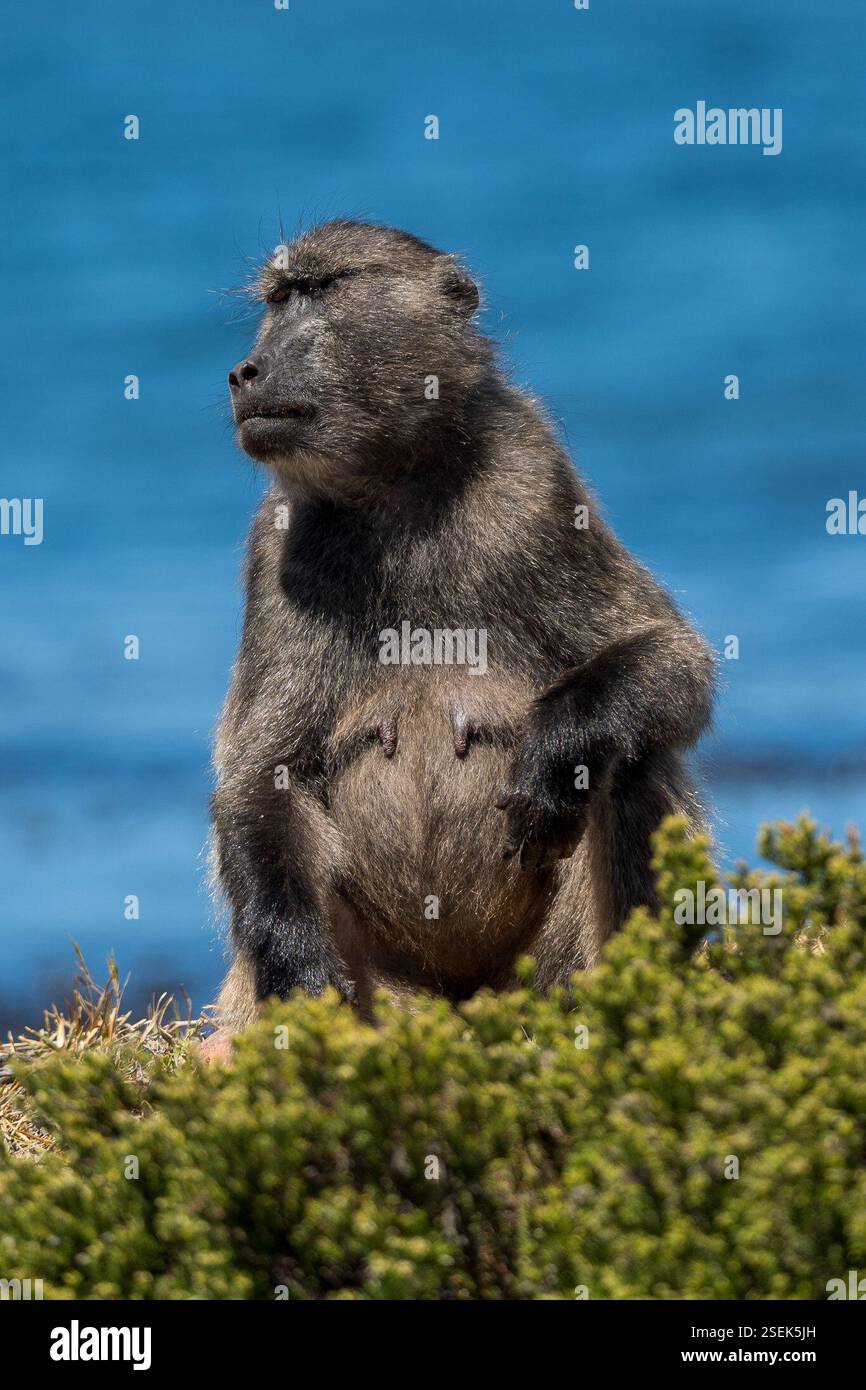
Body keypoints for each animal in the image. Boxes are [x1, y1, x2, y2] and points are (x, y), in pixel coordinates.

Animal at [207, 219, 715, 1048]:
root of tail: (470, 1005)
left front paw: (560, 744)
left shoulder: (537, 488)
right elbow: (261, 770)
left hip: (543, 974)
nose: (244, 372)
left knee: (636, 756)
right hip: (392, 992)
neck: (397, 486)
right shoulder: (273, 546)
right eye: (276, 300)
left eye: (322, 289)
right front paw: (296, 963)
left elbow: (673, 657)